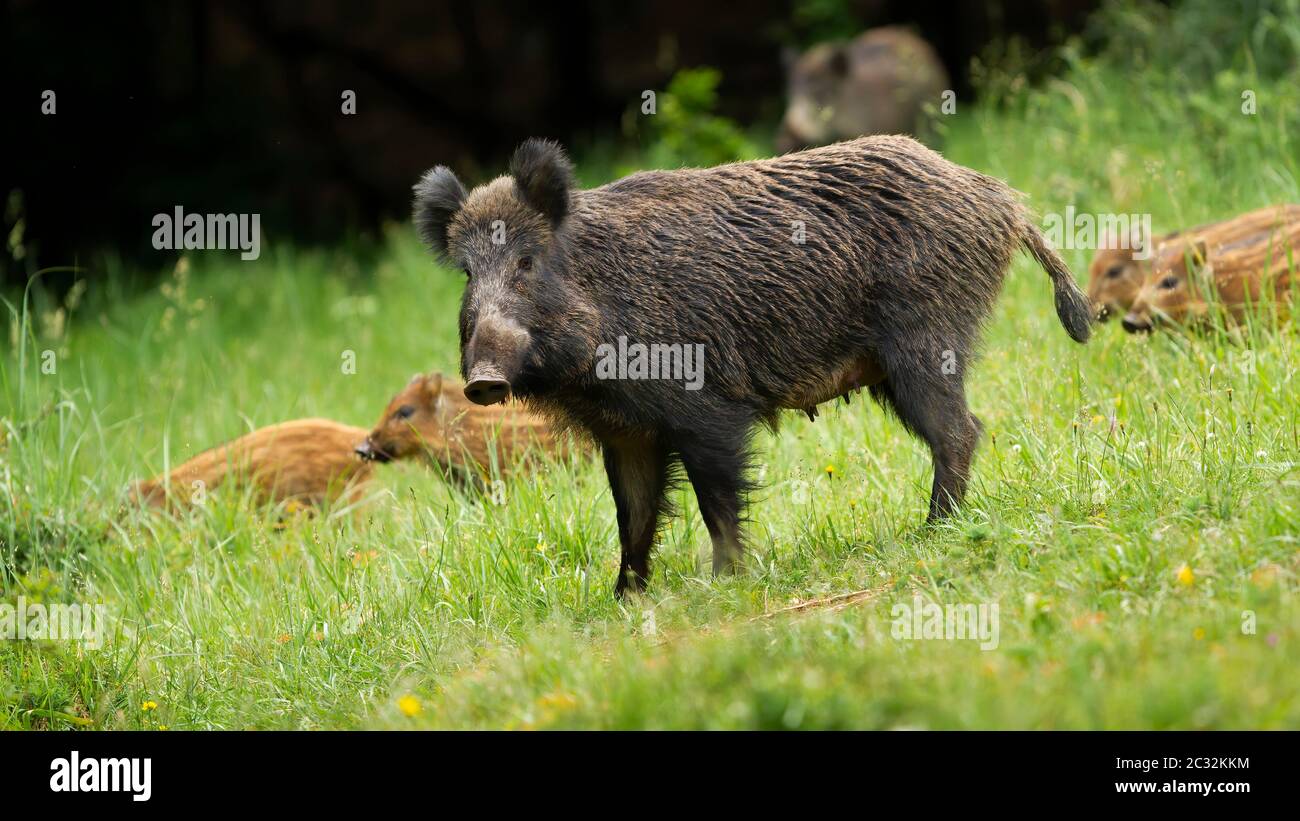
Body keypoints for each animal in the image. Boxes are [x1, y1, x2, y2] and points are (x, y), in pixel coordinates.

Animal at [412, 135, 1092, 595]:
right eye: (467, 274)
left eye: (526, 262)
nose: (482, 380)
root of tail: (998, 198)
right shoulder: (626, 432)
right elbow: (633, 513)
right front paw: (624, 600)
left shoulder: (706, 407)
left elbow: (716, 498)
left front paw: (725, 583)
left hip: (926, 340)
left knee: (960, 430)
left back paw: (932, 531)